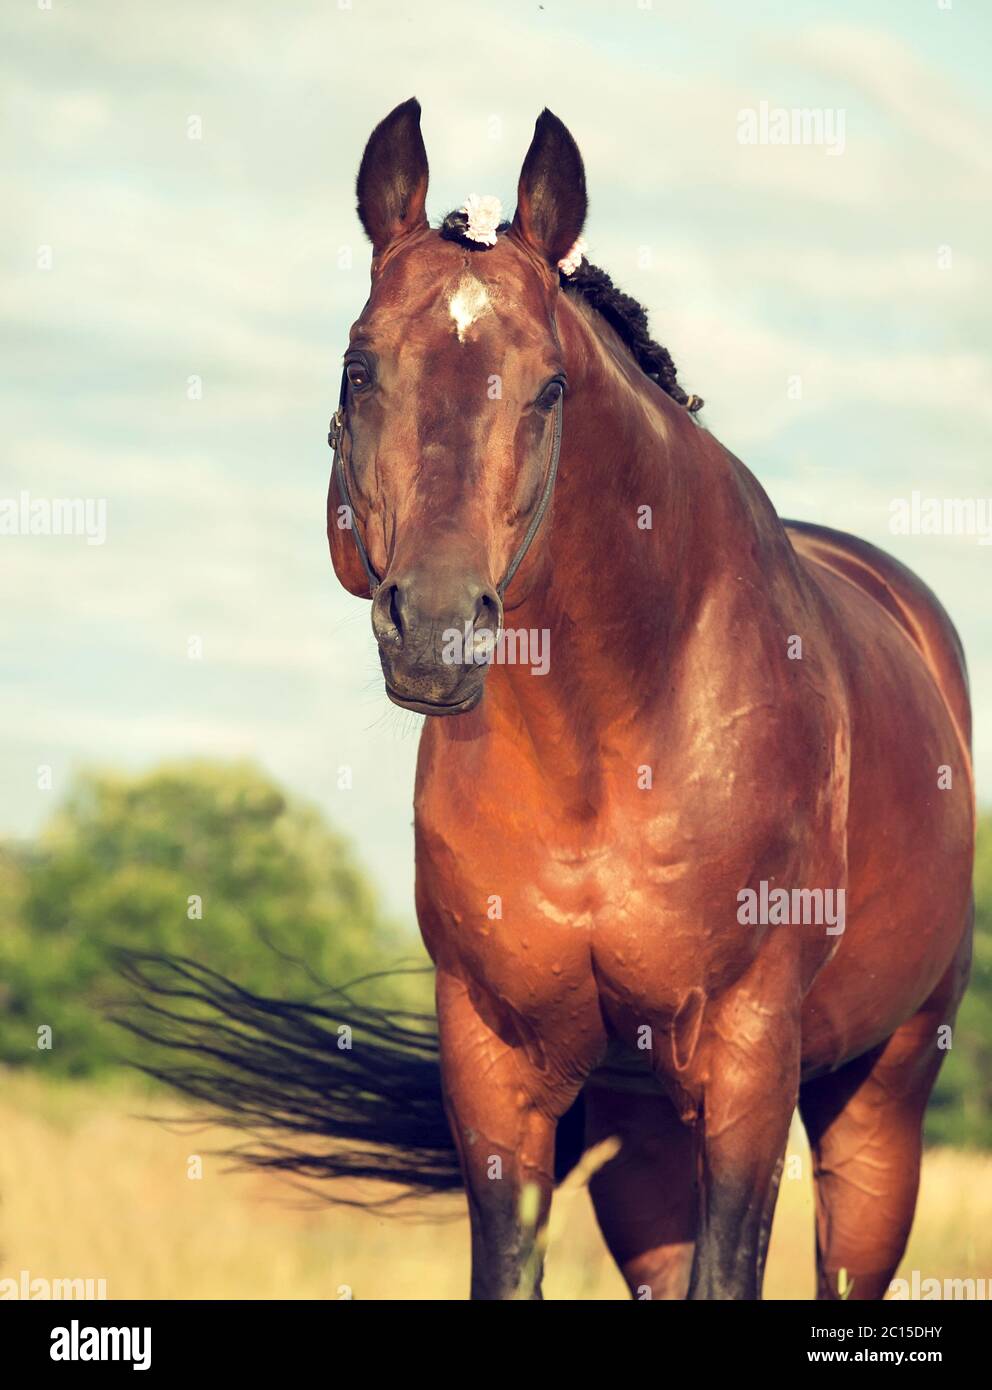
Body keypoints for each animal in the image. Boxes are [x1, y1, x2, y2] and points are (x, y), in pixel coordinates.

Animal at [322, 97, 975, 1301]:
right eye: (359, 369)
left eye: (548, 386)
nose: (434, 626)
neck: (605, 746)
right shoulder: (494, 1066)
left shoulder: (748, 1062)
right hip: (648, 1133)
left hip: (879, 1100)